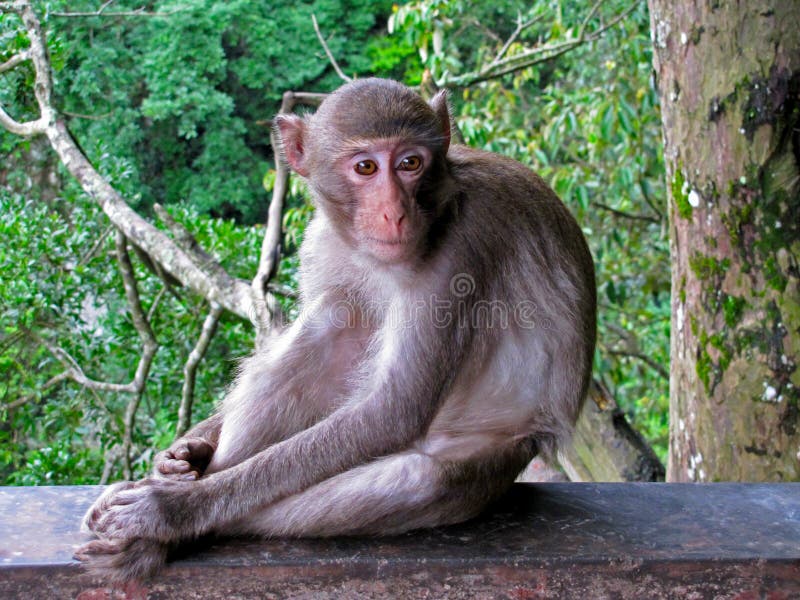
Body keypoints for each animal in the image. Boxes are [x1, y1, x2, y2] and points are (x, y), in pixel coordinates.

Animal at [76, 78, 596, 581]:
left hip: (493, 455)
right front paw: (185, 450)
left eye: (411, 163)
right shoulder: (321, 241)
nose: (394, 212)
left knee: (416, 476)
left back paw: (167, 535)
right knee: (334, 322)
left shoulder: (459, 251)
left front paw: (171, 509)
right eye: (366, 168)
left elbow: (393, 411)